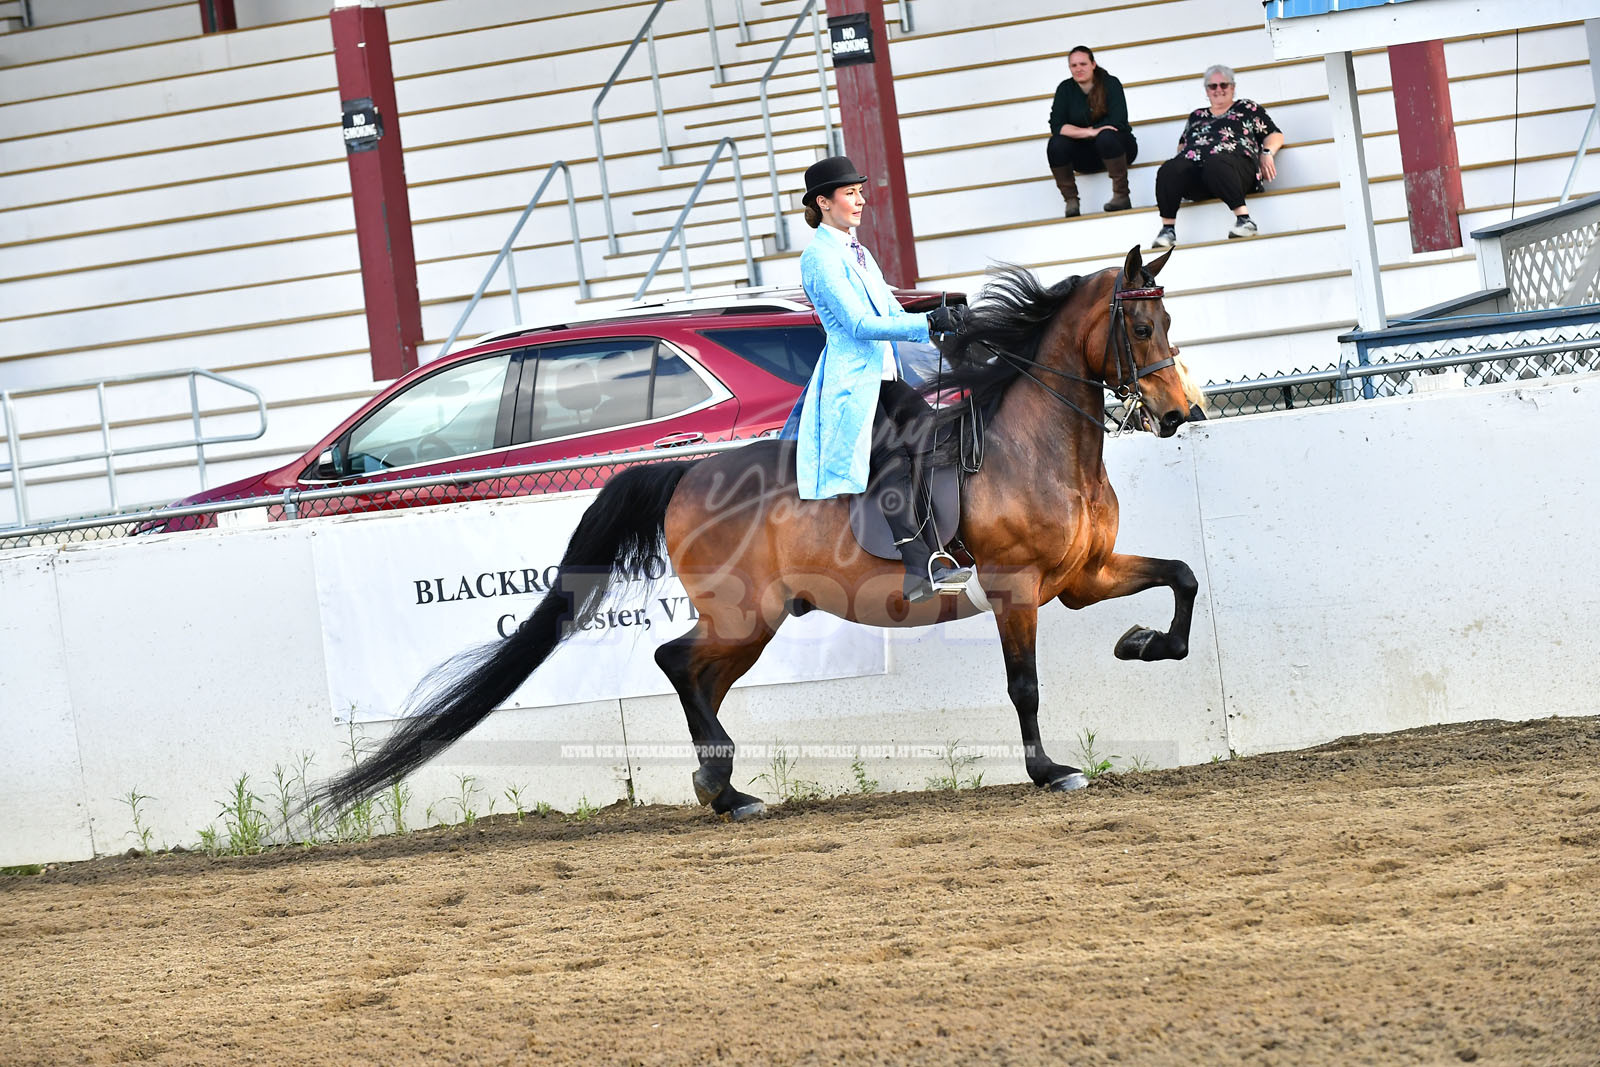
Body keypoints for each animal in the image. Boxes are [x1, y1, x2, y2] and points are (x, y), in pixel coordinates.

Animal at [313, 245, 1198, 821]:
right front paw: (1050, 770)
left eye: (1169, 320)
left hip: (755, 621)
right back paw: (726, 788)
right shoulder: (1016, 590)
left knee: (698, 677)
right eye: (1141, 329)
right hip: (743, 612)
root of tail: (684, 473)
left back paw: (723, 787)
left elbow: (1182, 576)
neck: (1037, 444)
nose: (1181, 414)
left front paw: (1143, 643)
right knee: (677, 662)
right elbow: (1025, 686)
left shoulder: (1081, 577)